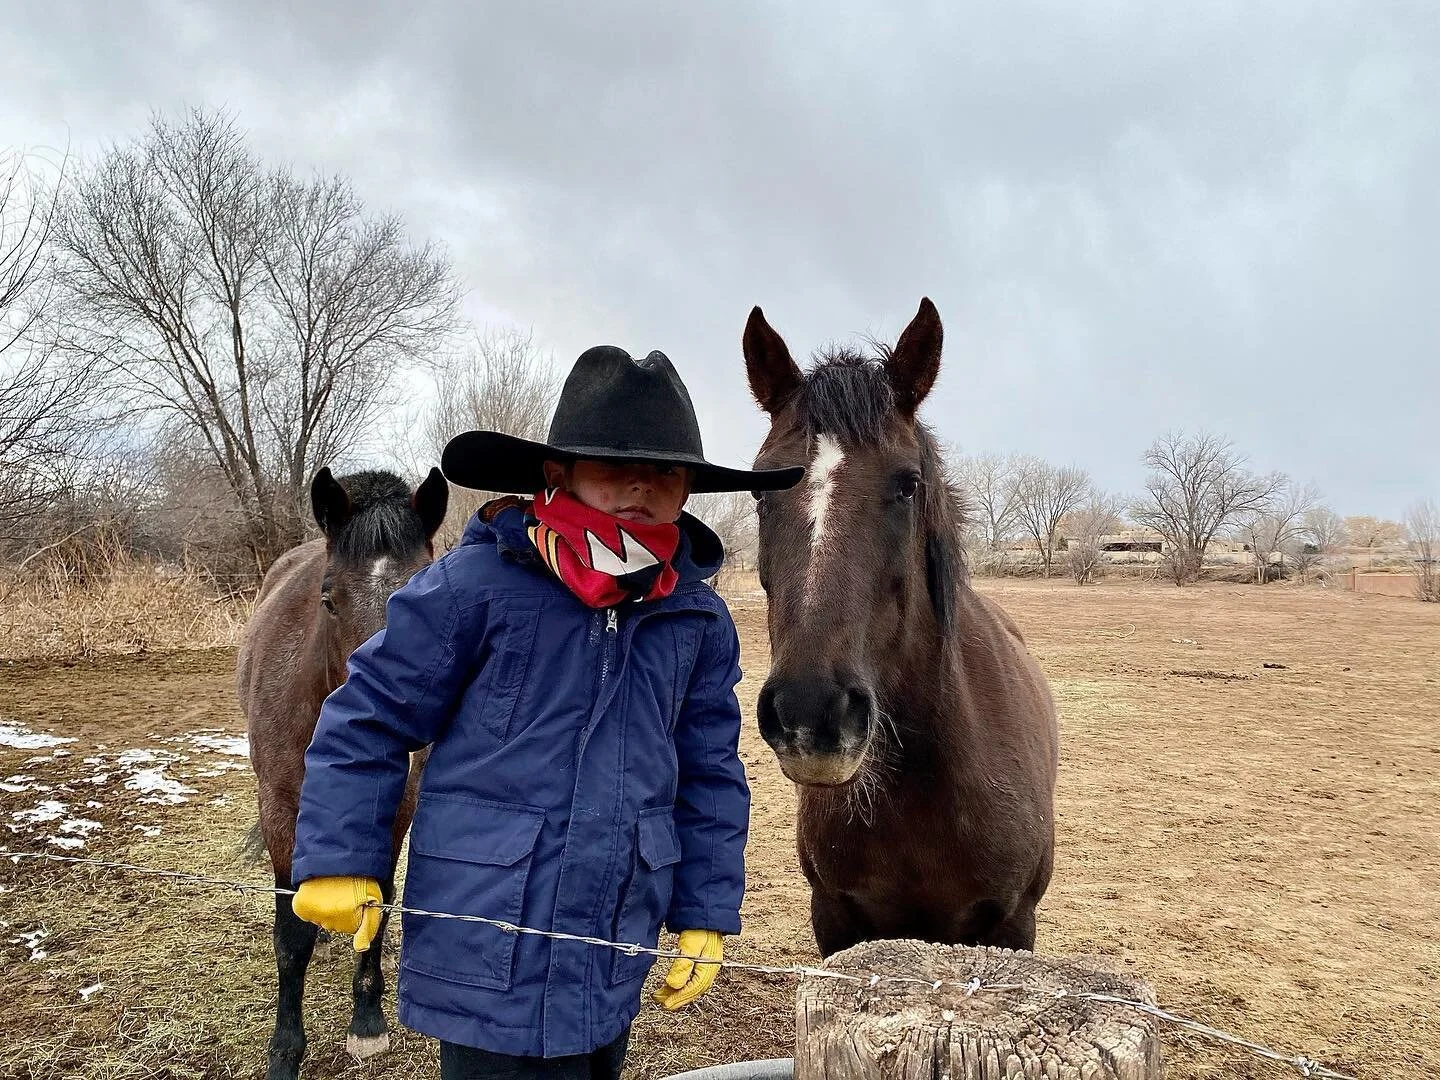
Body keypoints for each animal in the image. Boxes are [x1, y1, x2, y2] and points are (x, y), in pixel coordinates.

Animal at [237, 466, 447, 1080]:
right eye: (328, 600)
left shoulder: (396, 810)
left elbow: (378, 901)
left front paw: (368, 1022)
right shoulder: (281, 807)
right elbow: (290, 936)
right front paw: (285, 1049)